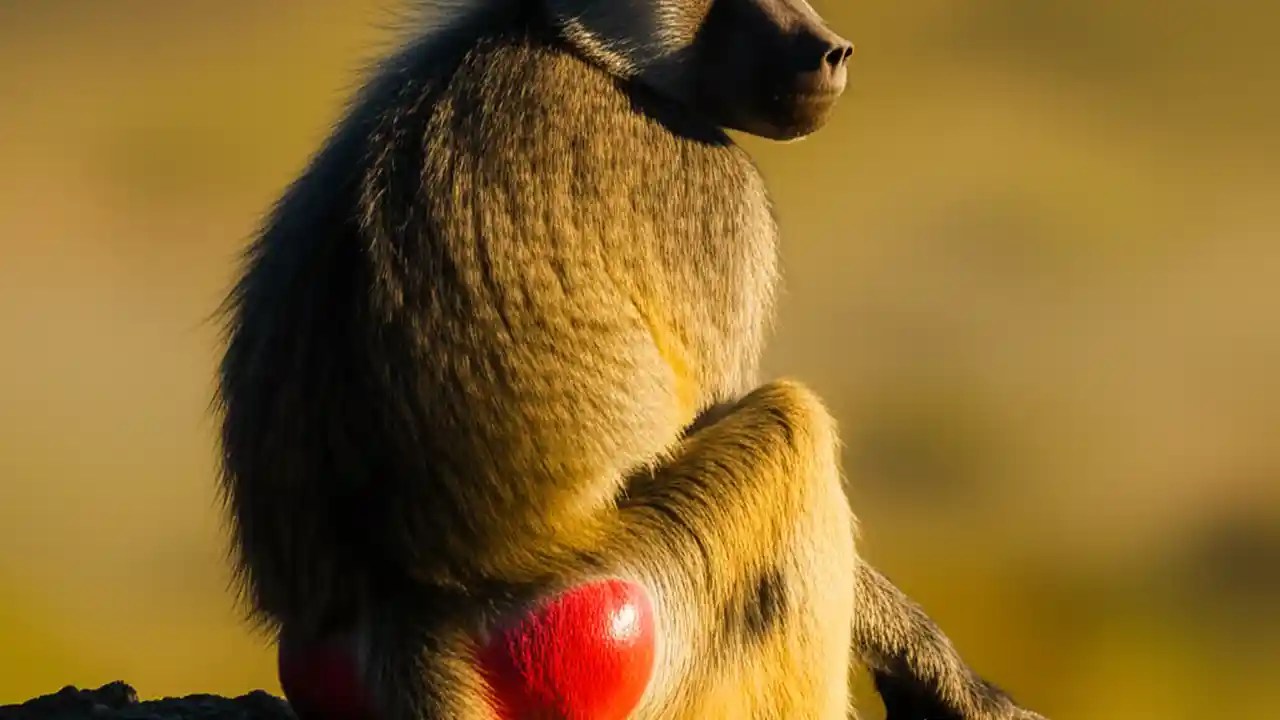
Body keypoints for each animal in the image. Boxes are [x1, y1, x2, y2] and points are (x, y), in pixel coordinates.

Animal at [215, 0, 1046, 718]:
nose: (831, 50)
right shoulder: (714, 191)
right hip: (623, 597)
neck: (582, 46)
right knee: (790, 431)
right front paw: (940, 667)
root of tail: (401, 601)